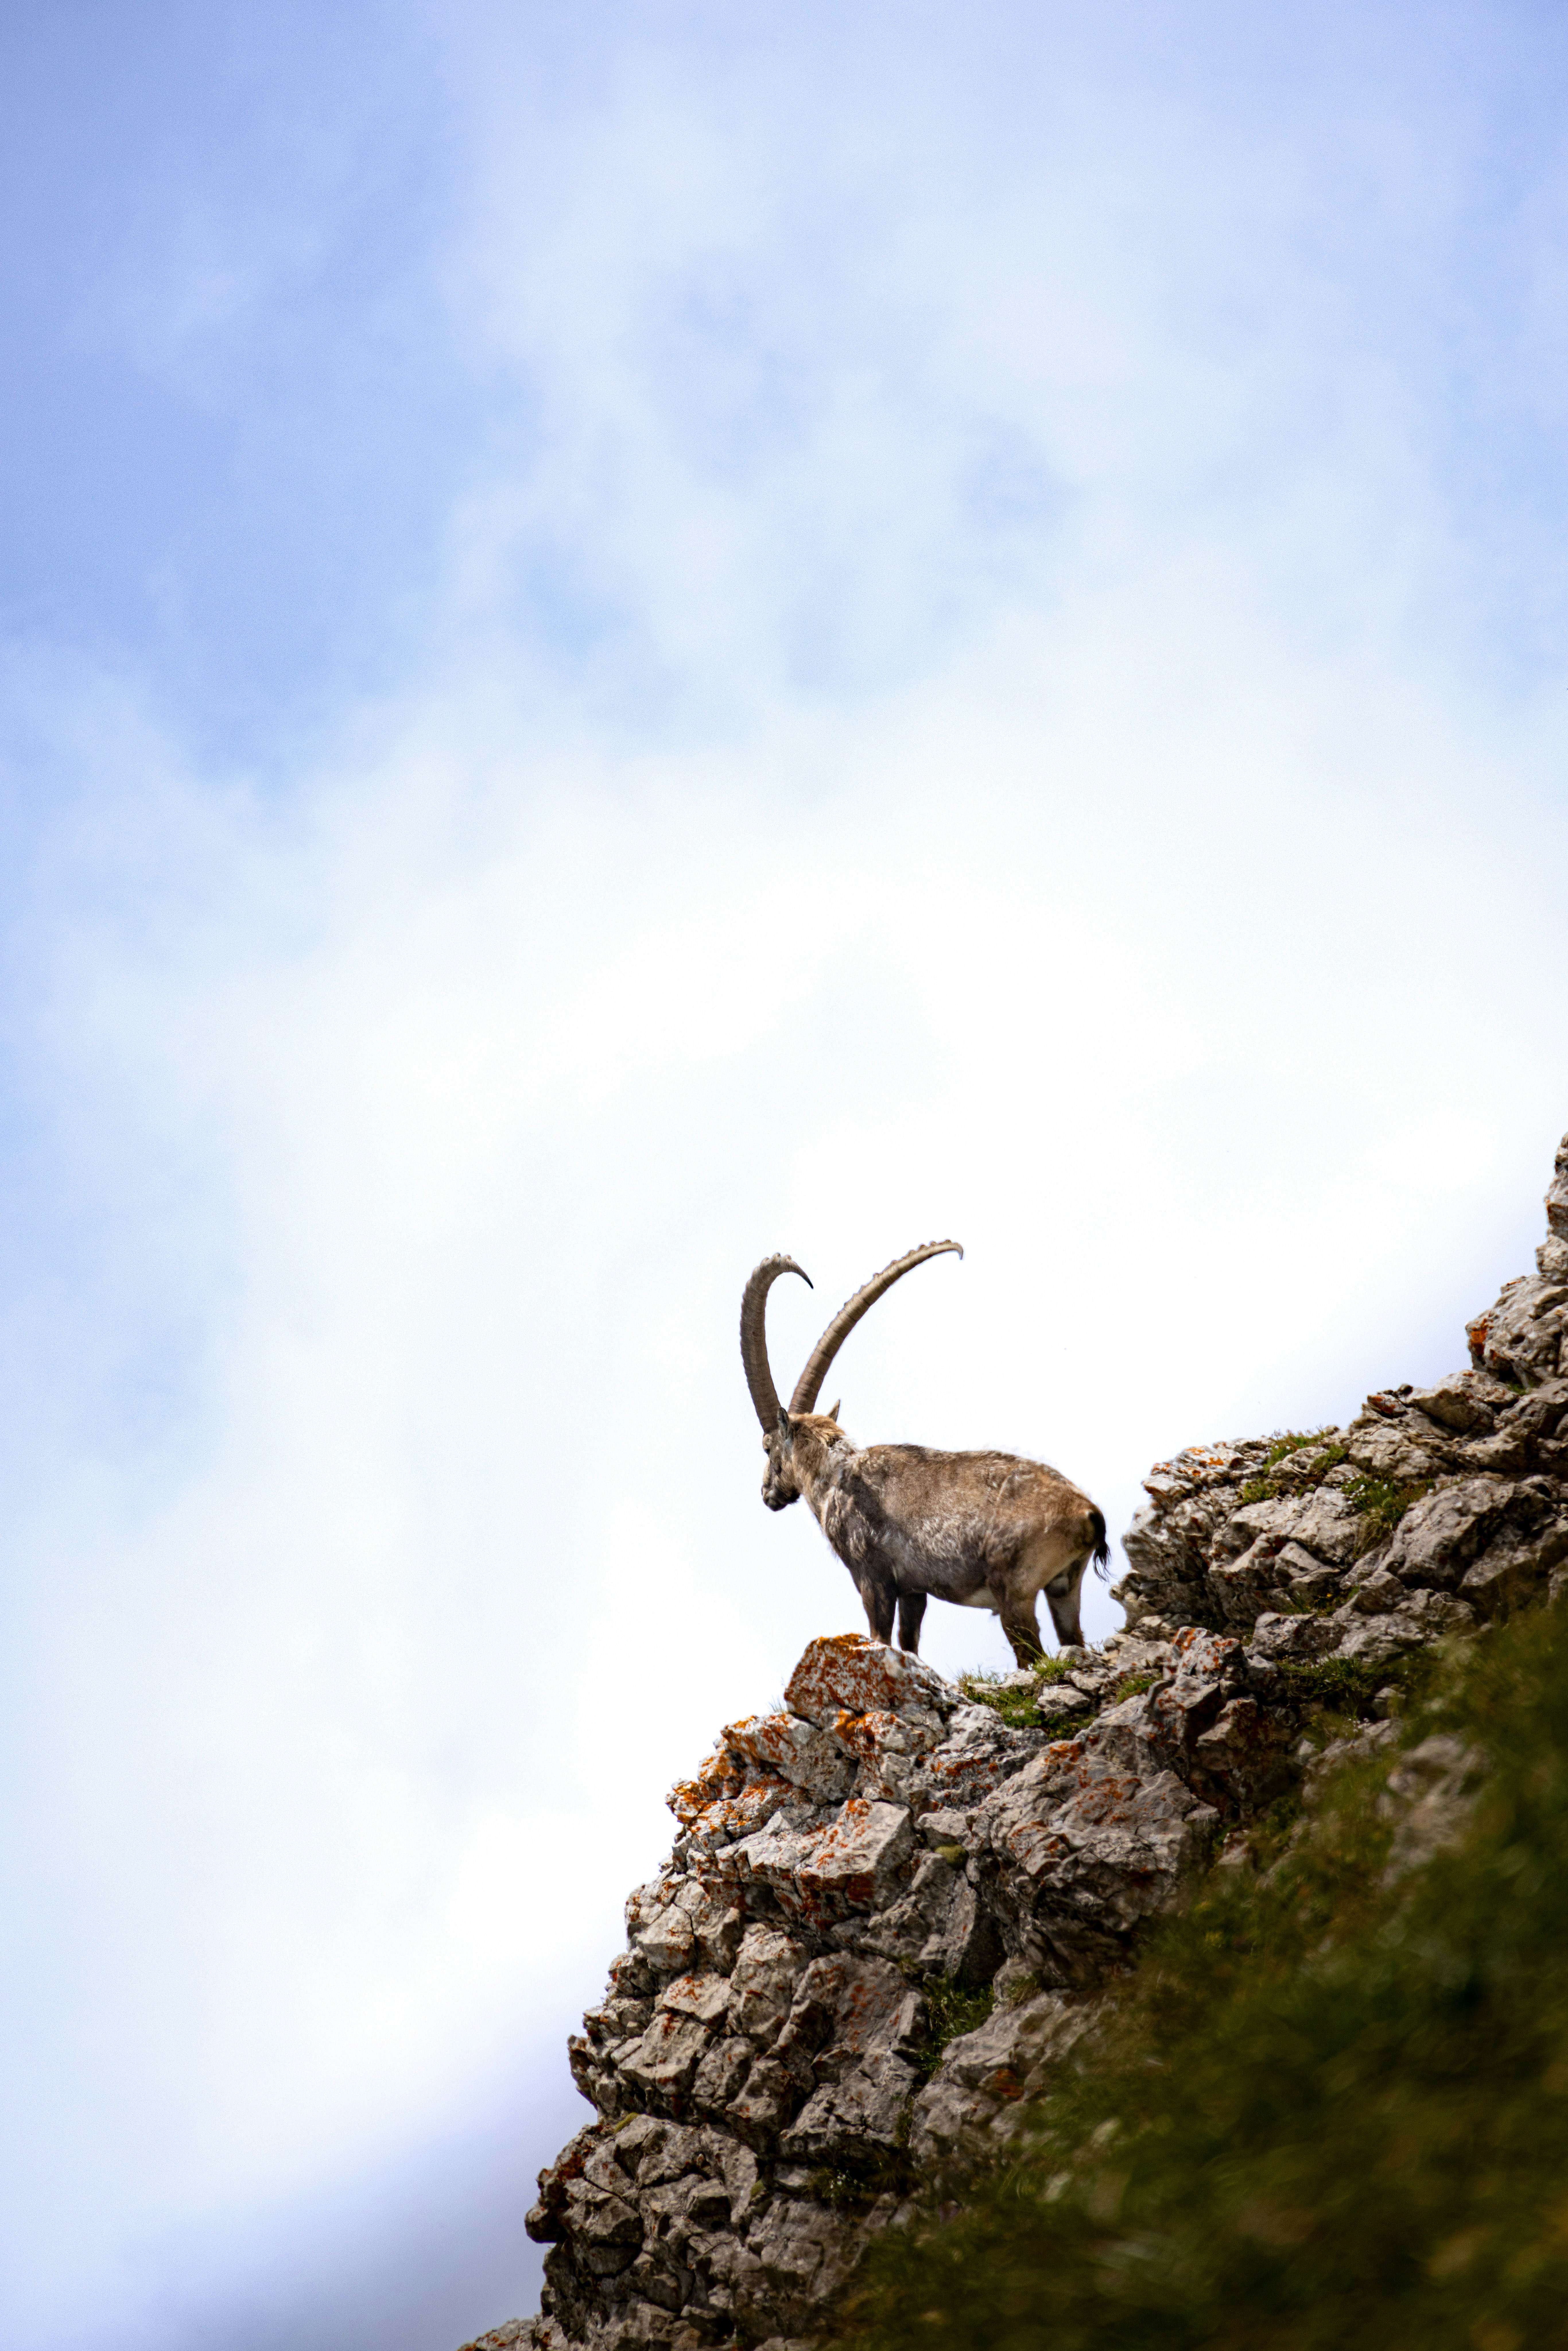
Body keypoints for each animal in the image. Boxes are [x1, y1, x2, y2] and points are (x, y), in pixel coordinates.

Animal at [740, 1242, 1110, 1663]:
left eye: (767, 1447)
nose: (768, 1494)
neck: (837, 1477)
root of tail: (1088, 1514)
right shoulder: (915, 1591)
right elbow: (909, 1642)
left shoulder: (873, 1579)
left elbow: (880, 1635)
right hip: (1065, 1587)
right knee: (1071, 1635)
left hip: (1015, 1592)